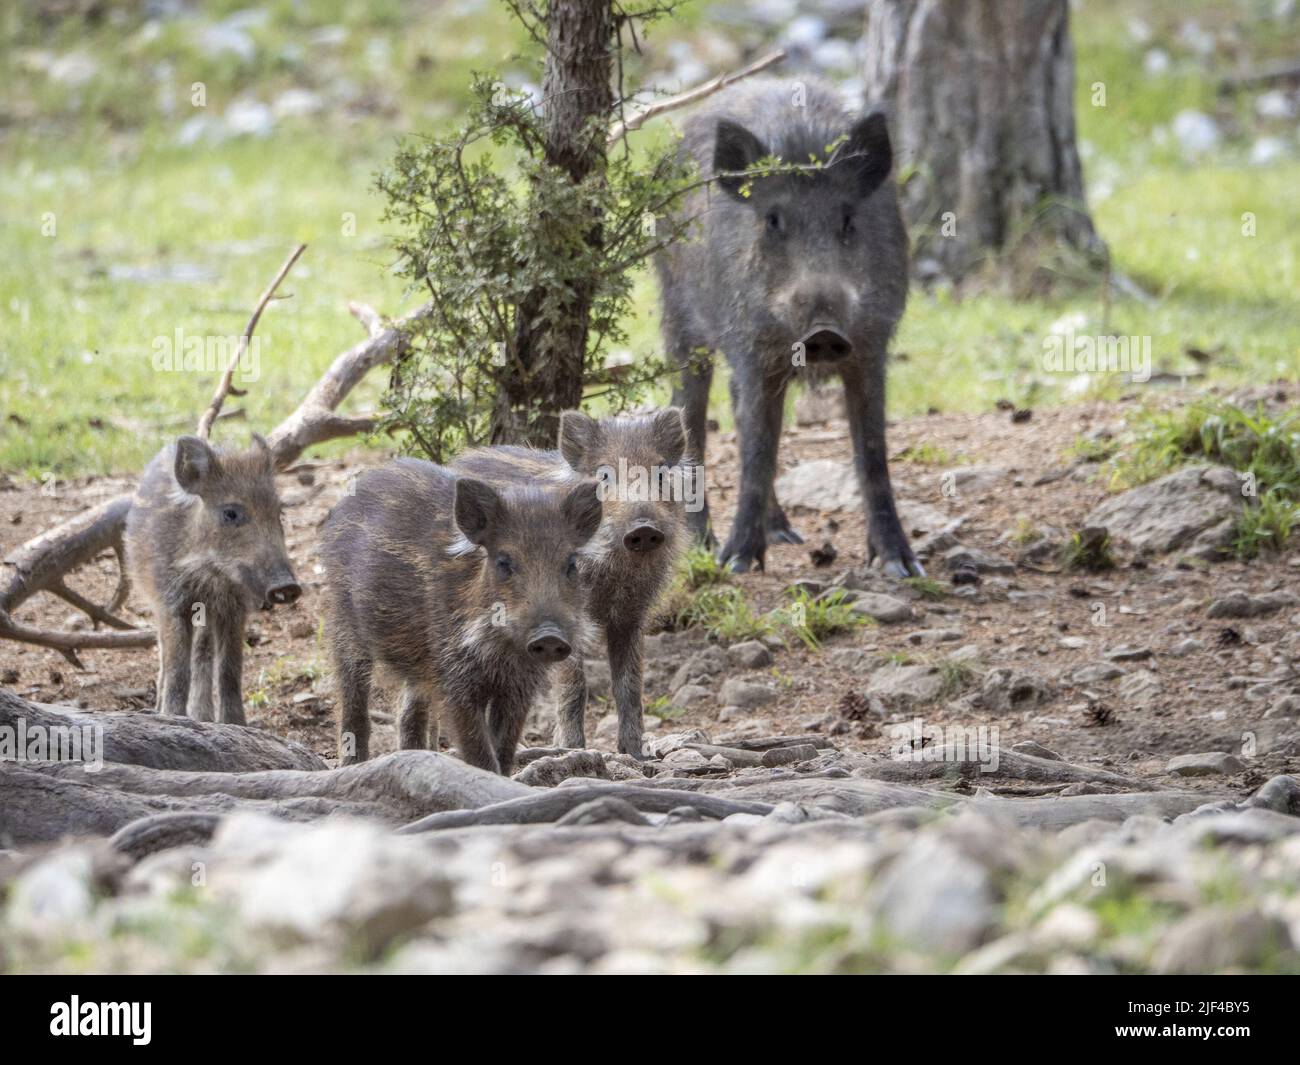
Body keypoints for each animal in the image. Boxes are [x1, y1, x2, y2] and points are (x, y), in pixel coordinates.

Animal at [125, 434, 301, 725]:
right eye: (230, 513)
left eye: (279, 513)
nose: (288, 586)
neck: (212, 573)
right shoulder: (171, 602)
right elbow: (177, 667)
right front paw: (172, 717)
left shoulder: (235, 608)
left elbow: (230, 669)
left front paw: (235, 724)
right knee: (166, 652)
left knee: (203, 651)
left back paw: (203, 716)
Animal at [320, 460, 603, 774]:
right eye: (503, 562)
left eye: (571, 564)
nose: (550, 635)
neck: (501, 652)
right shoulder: (453, 679)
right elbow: (479, 750)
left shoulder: (519, 687)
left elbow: (504, 747)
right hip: (343, 623)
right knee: (352, 704)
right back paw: (351, 765)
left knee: (409, 713)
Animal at [453, 408, 692, 758]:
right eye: (603, 476)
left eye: (661, 473)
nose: (644, 528)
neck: (615, 573)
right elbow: (574, 684)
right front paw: (572, 749)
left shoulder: (632, 616)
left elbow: (630, 684)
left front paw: (636, 753)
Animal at [656, 78, 922, 577]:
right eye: (773, 220)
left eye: (848, 219)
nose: (824, 332)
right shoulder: (753, 349)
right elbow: (759, 451)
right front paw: (737, 563)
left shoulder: (870, 348)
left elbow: (872, 454)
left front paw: (901, 565)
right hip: (680, 321)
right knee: (691, 417)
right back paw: (702, 543)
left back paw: (784, 534)